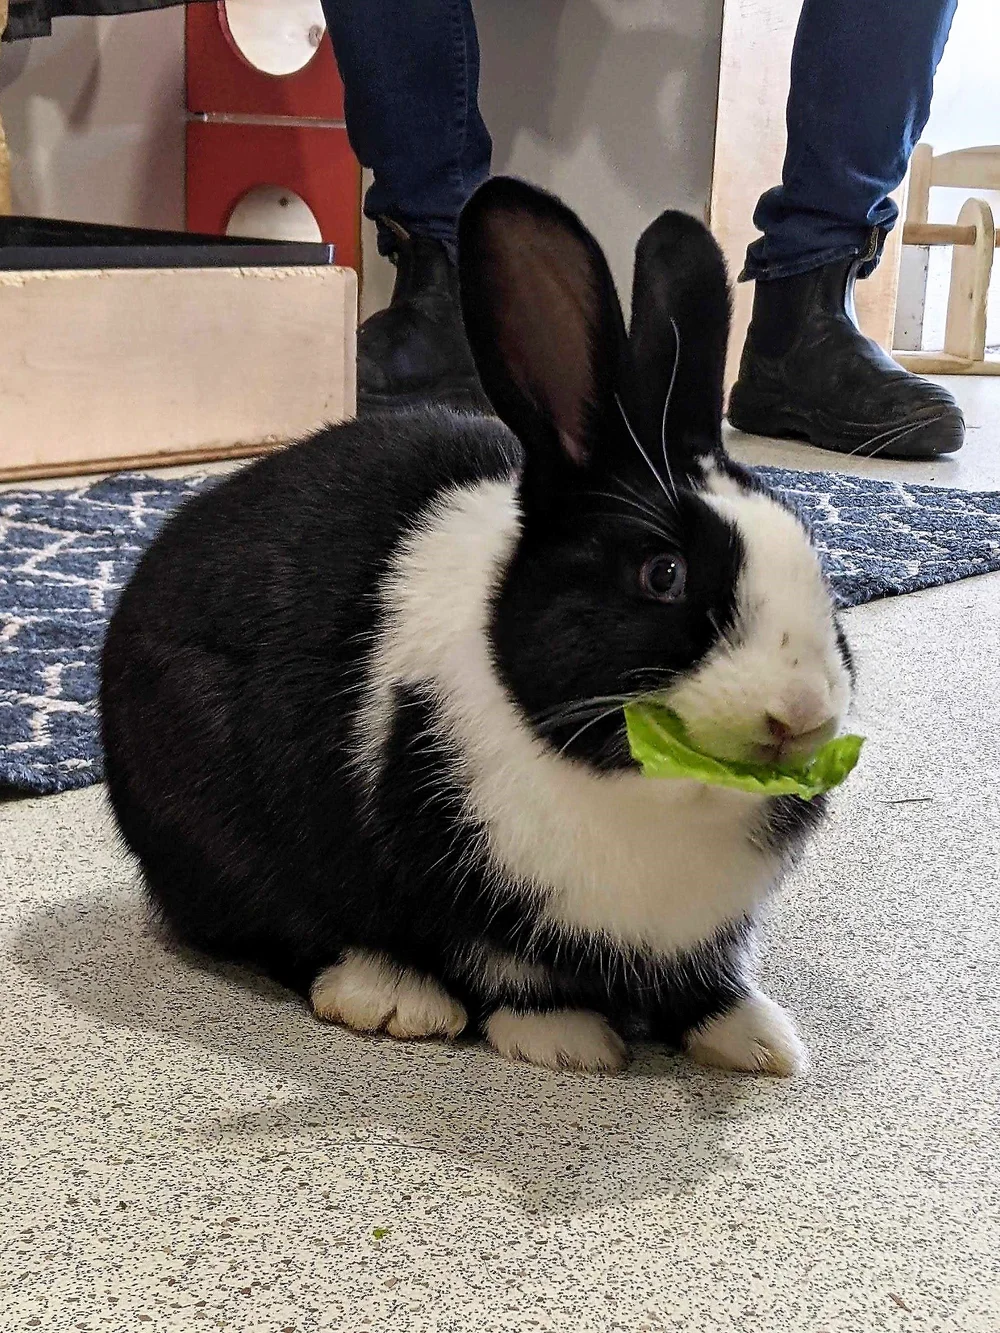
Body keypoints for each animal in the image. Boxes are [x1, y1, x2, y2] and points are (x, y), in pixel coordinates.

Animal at [100, 177, 854, 1077]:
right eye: (662, 574)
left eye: (818, 566)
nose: (802, 712)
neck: (655, 796)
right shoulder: (457, 888)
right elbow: (505, 967)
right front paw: (568, 1039)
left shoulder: (708, 930)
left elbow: (707, 975)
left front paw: (758, 1039)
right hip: (212, 828)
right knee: (271, 927)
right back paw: (392, 994)